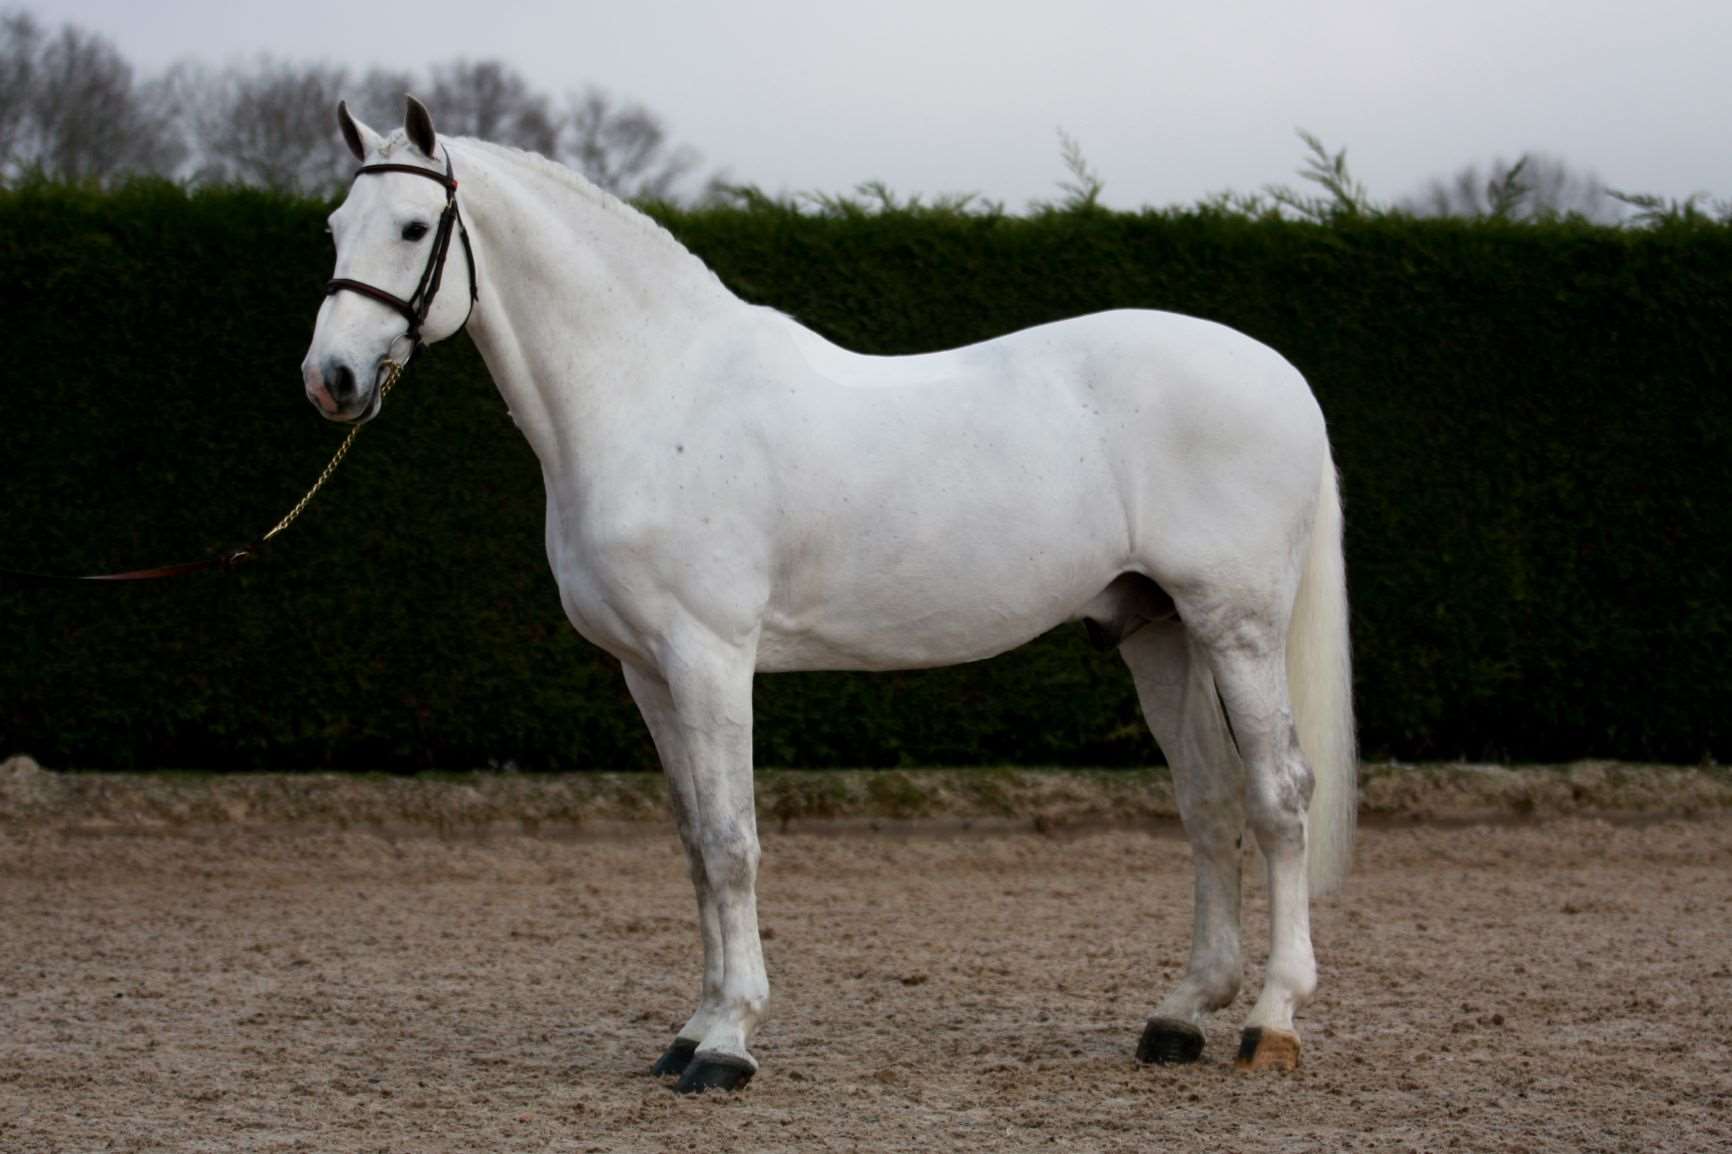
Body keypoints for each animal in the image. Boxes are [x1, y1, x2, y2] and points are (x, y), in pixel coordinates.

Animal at [303, 97, 1357, 1094]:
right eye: (333, 226)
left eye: (412, 227)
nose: (332, 379)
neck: (656, 391)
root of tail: (1284, 377)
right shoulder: (647, 671)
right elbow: (693, 844)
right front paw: (688, 1032)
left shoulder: (711, 657)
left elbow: (732, 841)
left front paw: (727, 1044)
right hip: (1157, 630)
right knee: (1206, 801)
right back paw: (1180, 1016)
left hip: (1237, 626)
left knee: (1279, 797)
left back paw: (1272, 1022)